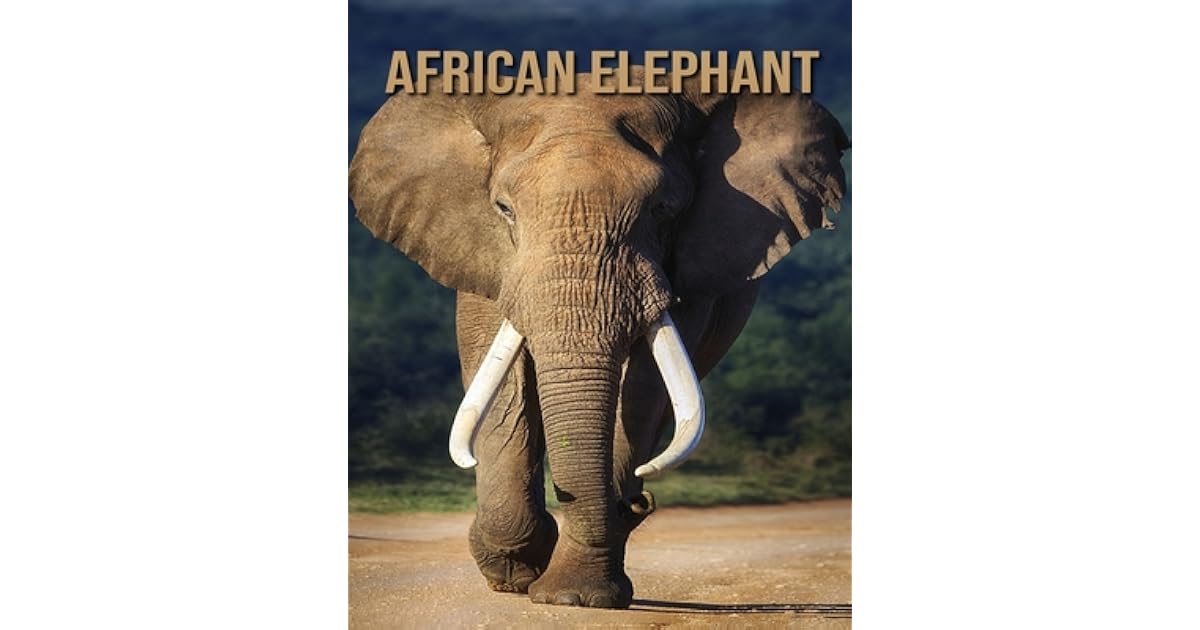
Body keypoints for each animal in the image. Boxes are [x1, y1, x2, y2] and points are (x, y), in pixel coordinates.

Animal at [348, 69, 849, 609]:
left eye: (663, 209)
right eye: (503, 209)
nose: (644, 500)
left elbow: (644, 390)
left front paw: (573, 597)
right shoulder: (479, 251)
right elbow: (499, 380)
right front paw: (516, 573)